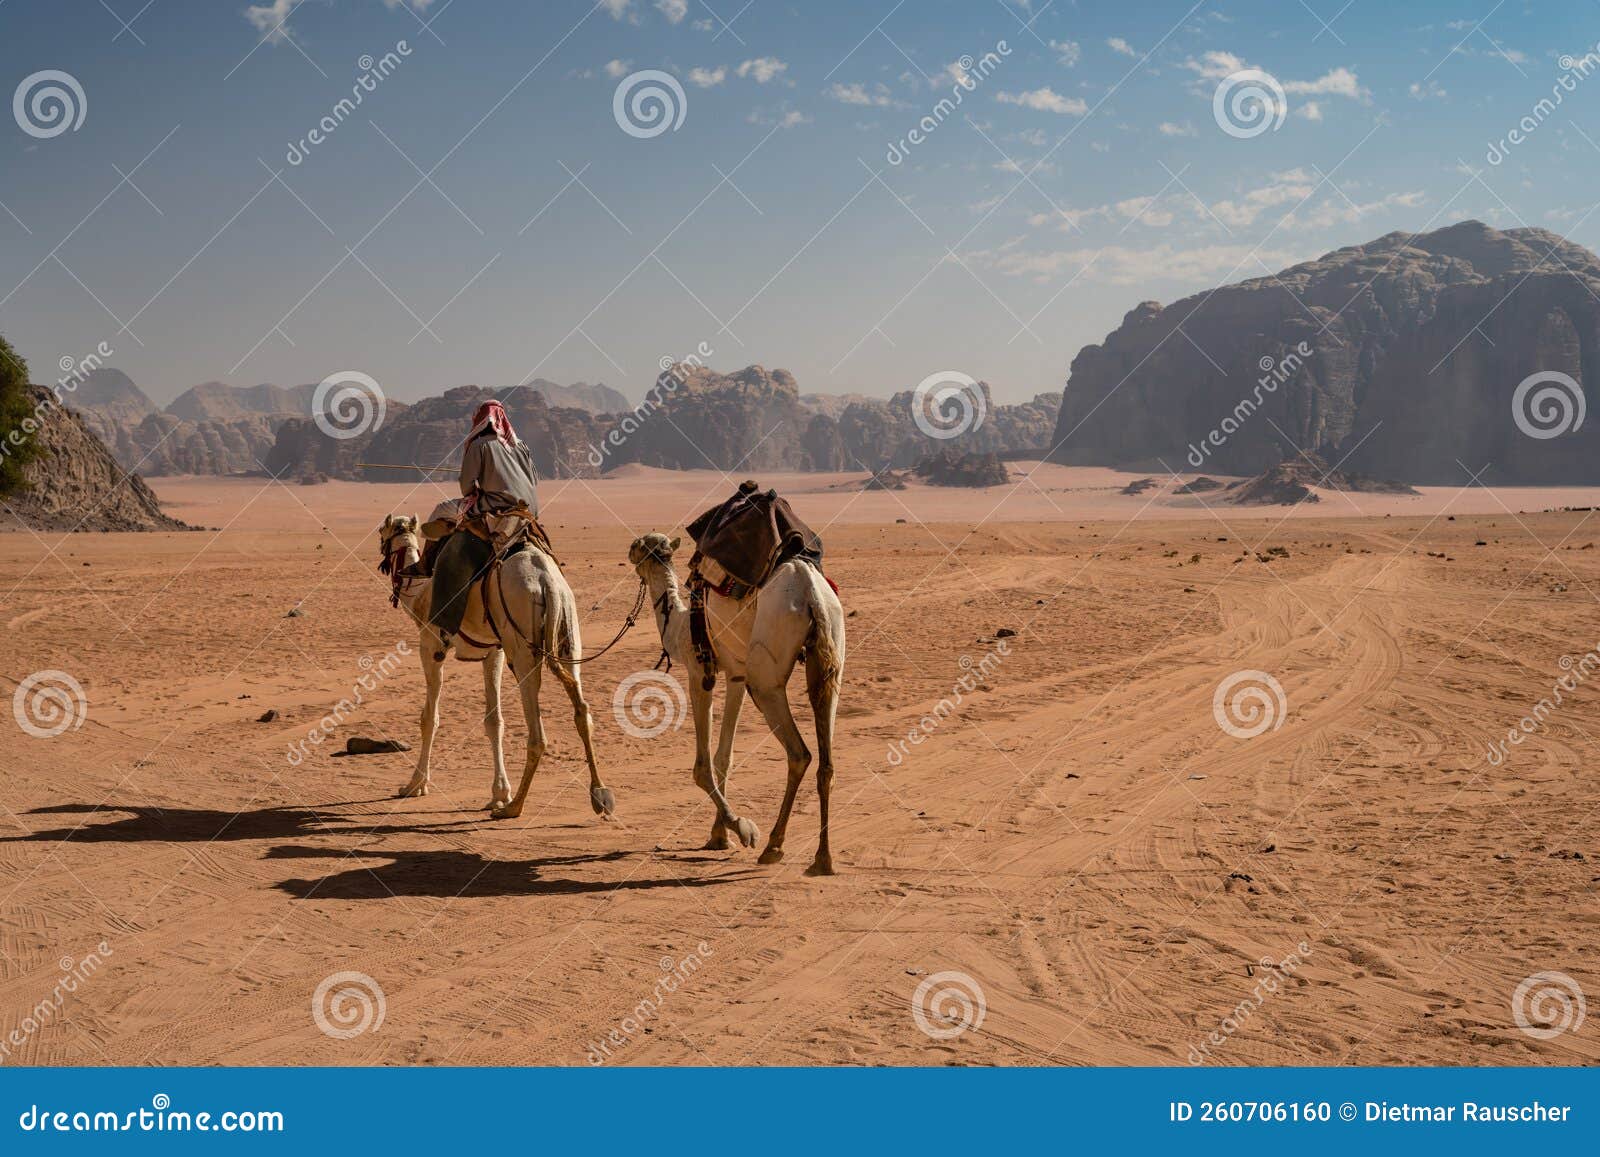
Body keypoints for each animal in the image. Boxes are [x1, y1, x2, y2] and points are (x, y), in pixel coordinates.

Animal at [378, 515, 614, 822]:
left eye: (380, 532)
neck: (418, 592)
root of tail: (546, 582)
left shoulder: (430, 644)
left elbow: (429, 718)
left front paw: (414, 785)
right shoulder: (494, 651)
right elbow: (494, 720)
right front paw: (499, 793)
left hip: (522, 646)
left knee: (537, 732)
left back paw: (515, 808)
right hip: (567, 631)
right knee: (582, 710)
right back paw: (600, 795)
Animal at [628, 532, 846, 875]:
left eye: (639, 546)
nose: (629, 551)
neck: (678, 625)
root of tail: (811, 593)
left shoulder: (699, 671)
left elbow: (703, 766)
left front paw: (741, 828)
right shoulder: (736, 675)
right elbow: (724, 757)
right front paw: (719, 836)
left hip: (766, 675)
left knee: (800, 753)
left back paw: (772, 846)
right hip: (830, 656)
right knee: (826, 761)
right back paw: (822, 859)